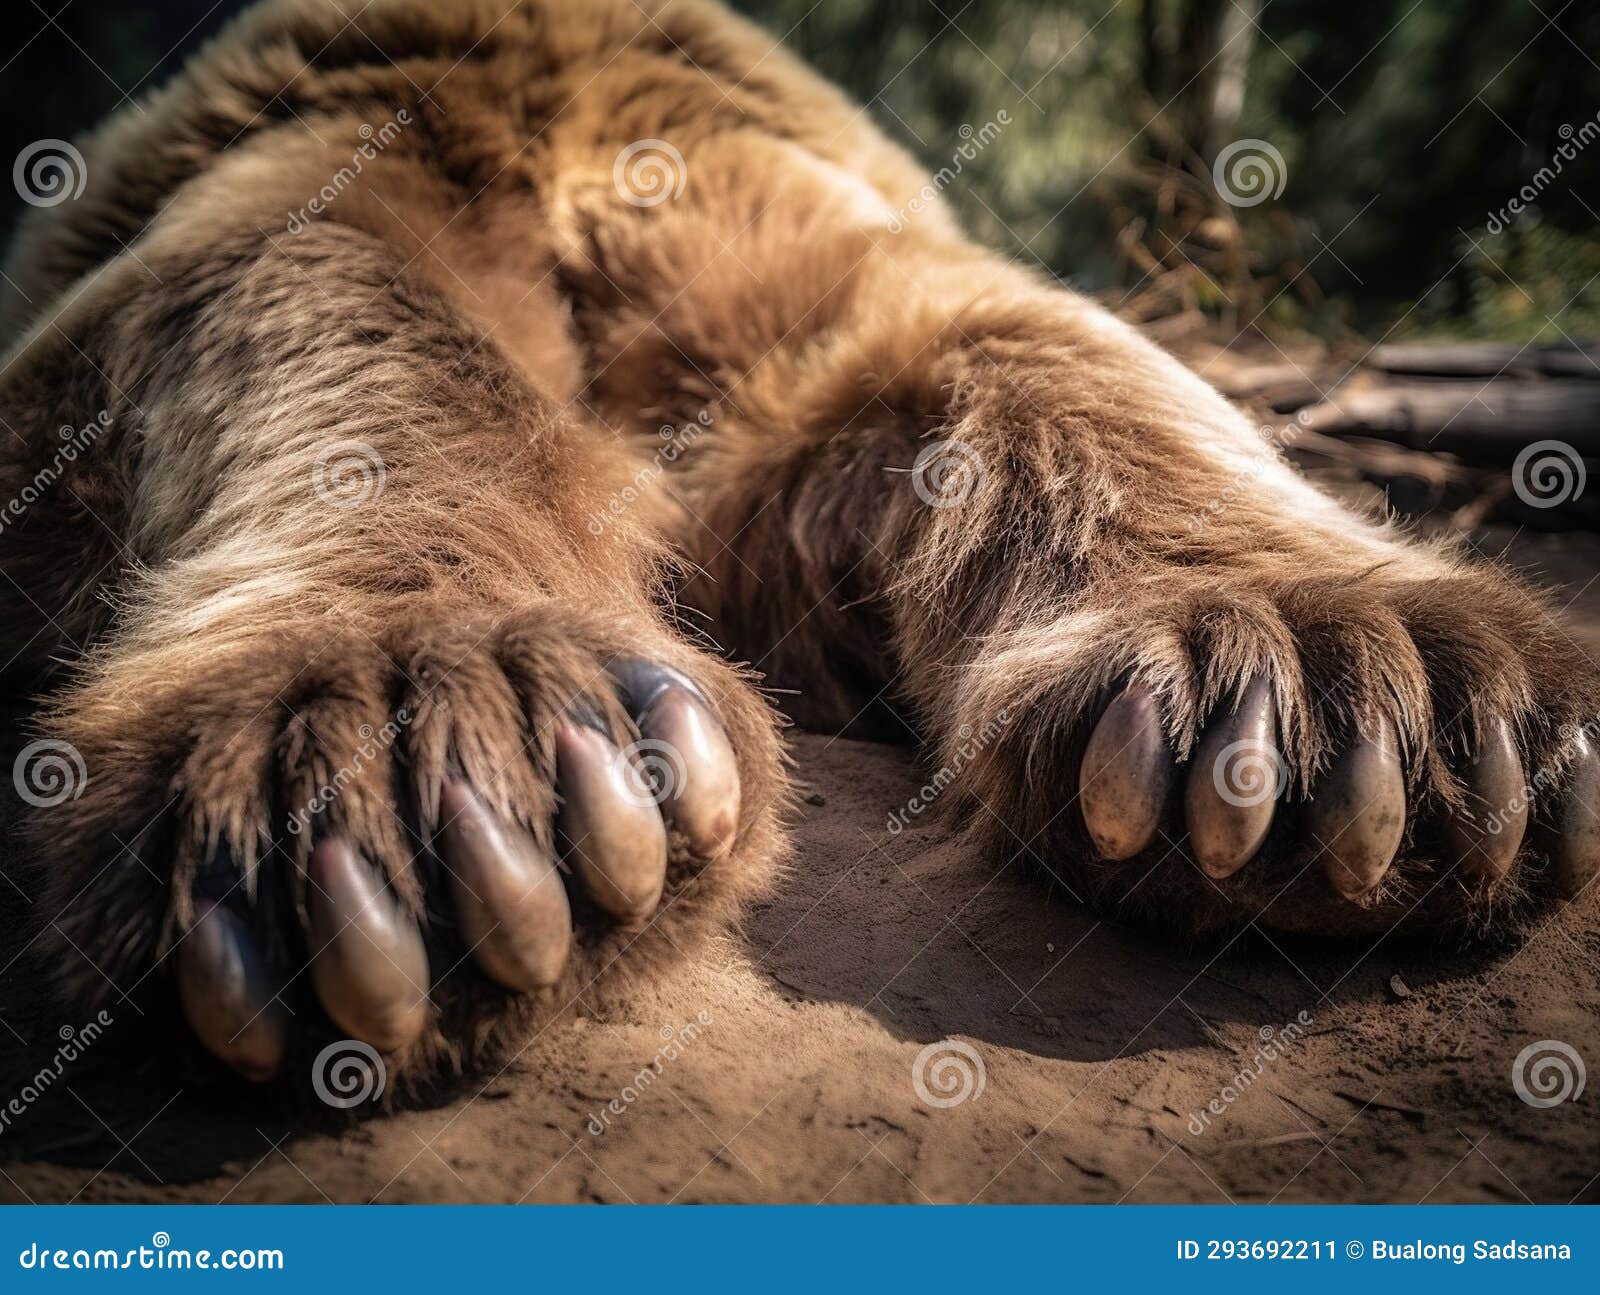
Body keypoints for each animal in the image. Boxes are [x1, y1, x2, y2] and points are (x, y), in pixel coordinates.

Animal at [0, 0, 1594, 1098]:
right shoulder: (343, 156)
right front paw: (434, 764)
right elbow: (325, 298)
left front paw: (1359, 709)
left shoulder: (762, 231)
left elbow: (985, 335)